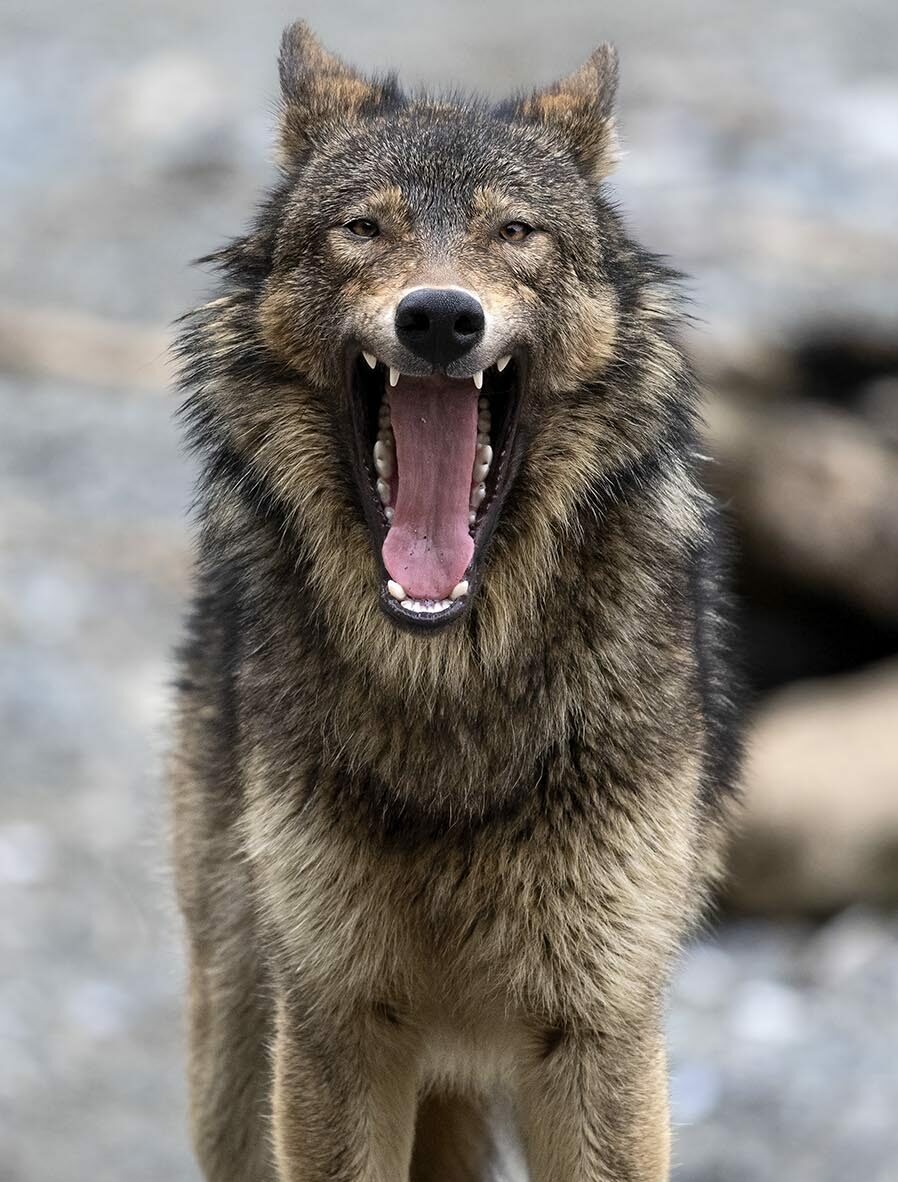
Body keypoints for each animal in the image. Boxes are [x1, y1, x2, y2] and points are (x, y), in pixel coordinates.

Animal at [172, 21, 741, 1182]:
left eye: (516, 232)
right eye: (362, 228)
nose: (438, 316)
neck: (449, 697)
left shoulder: (598, 1031)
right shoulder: (335, 1025)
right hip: (235, 1059)